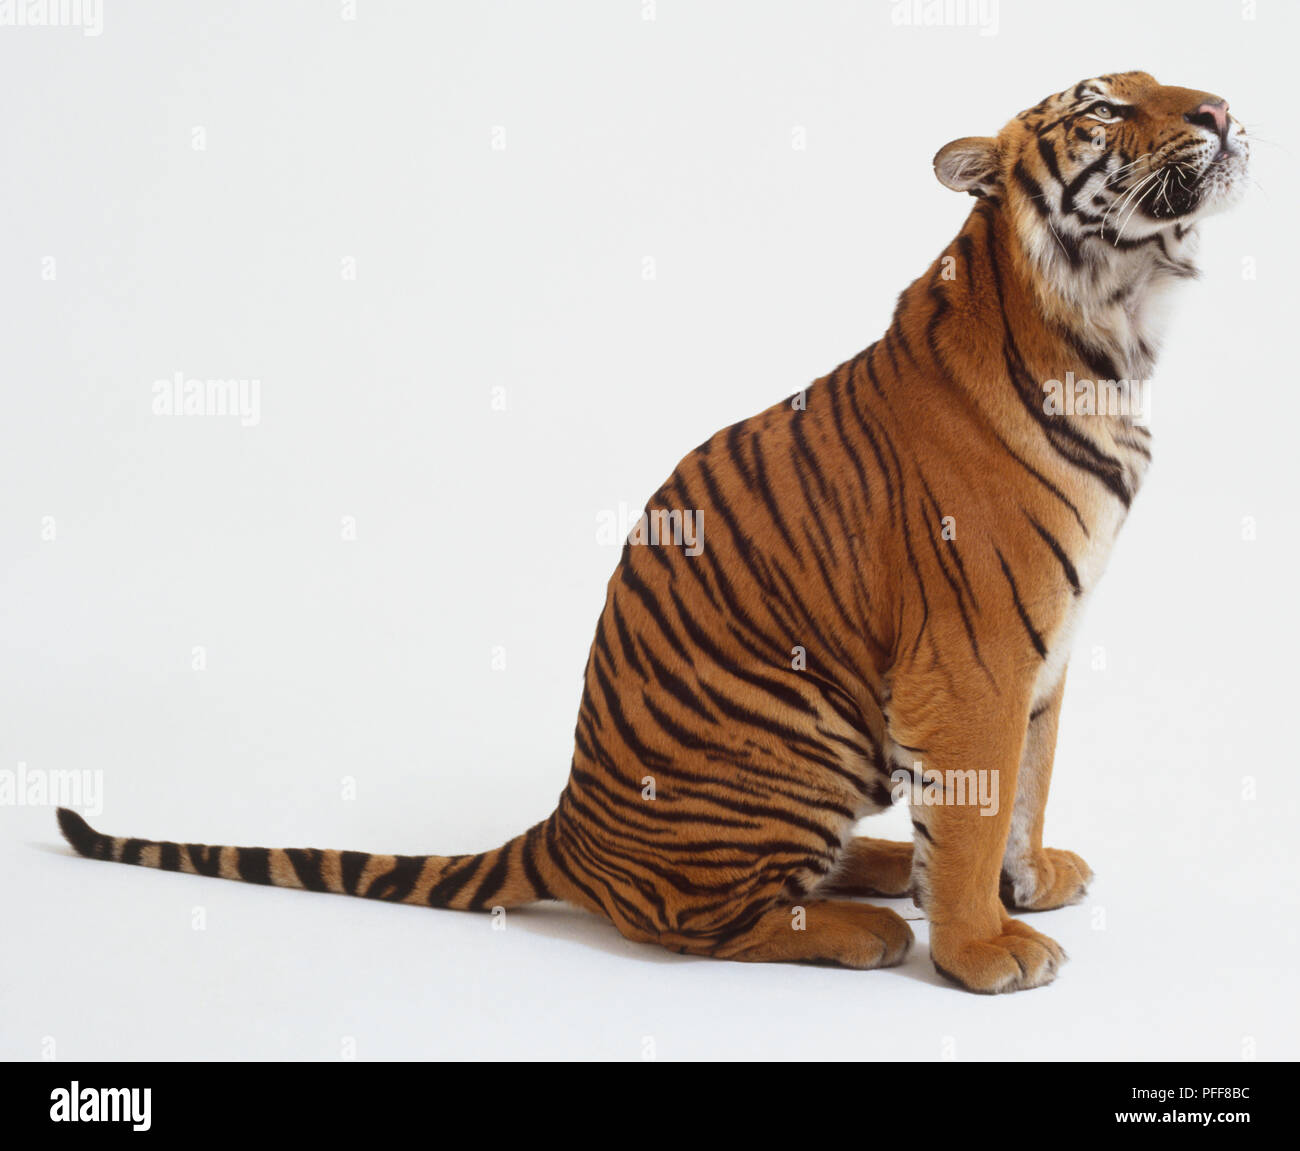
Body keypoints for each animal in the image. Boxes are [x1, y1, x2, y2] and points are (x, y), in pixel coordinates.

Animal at [57, 72, 1248, 993]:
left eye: (1155, 81)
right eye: (1103, 108)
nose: (1223, 108)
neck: (1116, 324)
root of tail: (567, 822)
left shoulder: (1046, 654)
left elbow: (1025, 785)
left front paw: (1026, 883)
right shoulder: (975, 661)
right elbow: (978, 803)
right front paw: (980, 949)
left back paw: (876, 868)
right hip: (799, 728)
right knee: (698, 922)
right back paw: (869, 921)